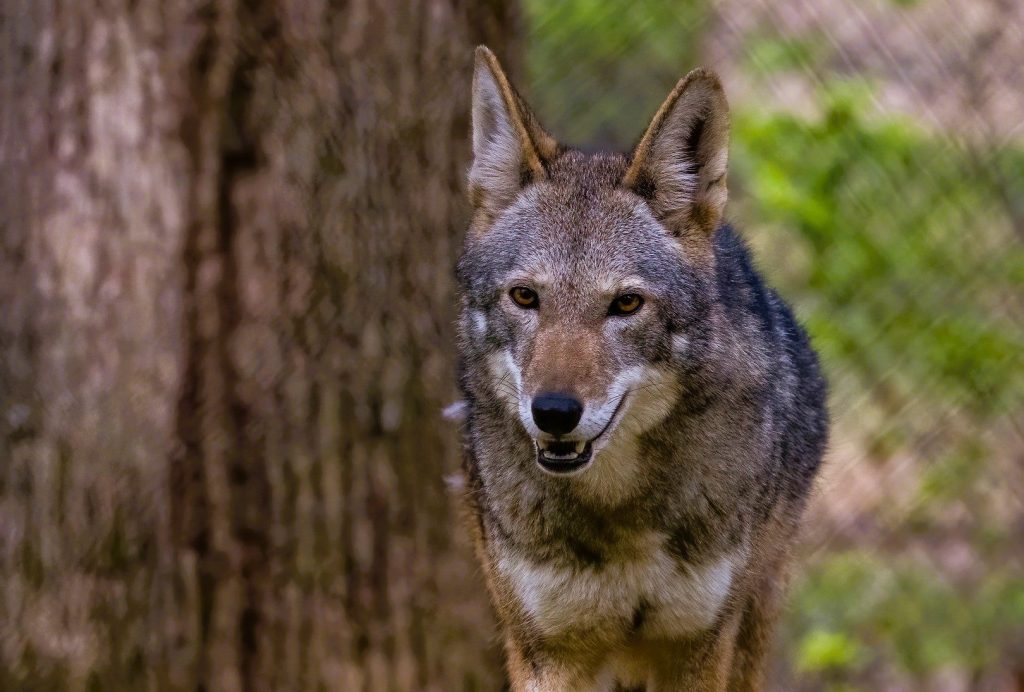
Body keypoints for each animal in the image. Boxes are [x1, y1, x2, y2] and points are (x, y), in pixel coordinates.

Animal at [454, 46, 829, 691]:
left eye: (626, 304)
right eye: (525, 297)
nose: (553, 413)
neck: (620, 511)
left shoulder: (698, 650)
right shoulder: (545, 652)